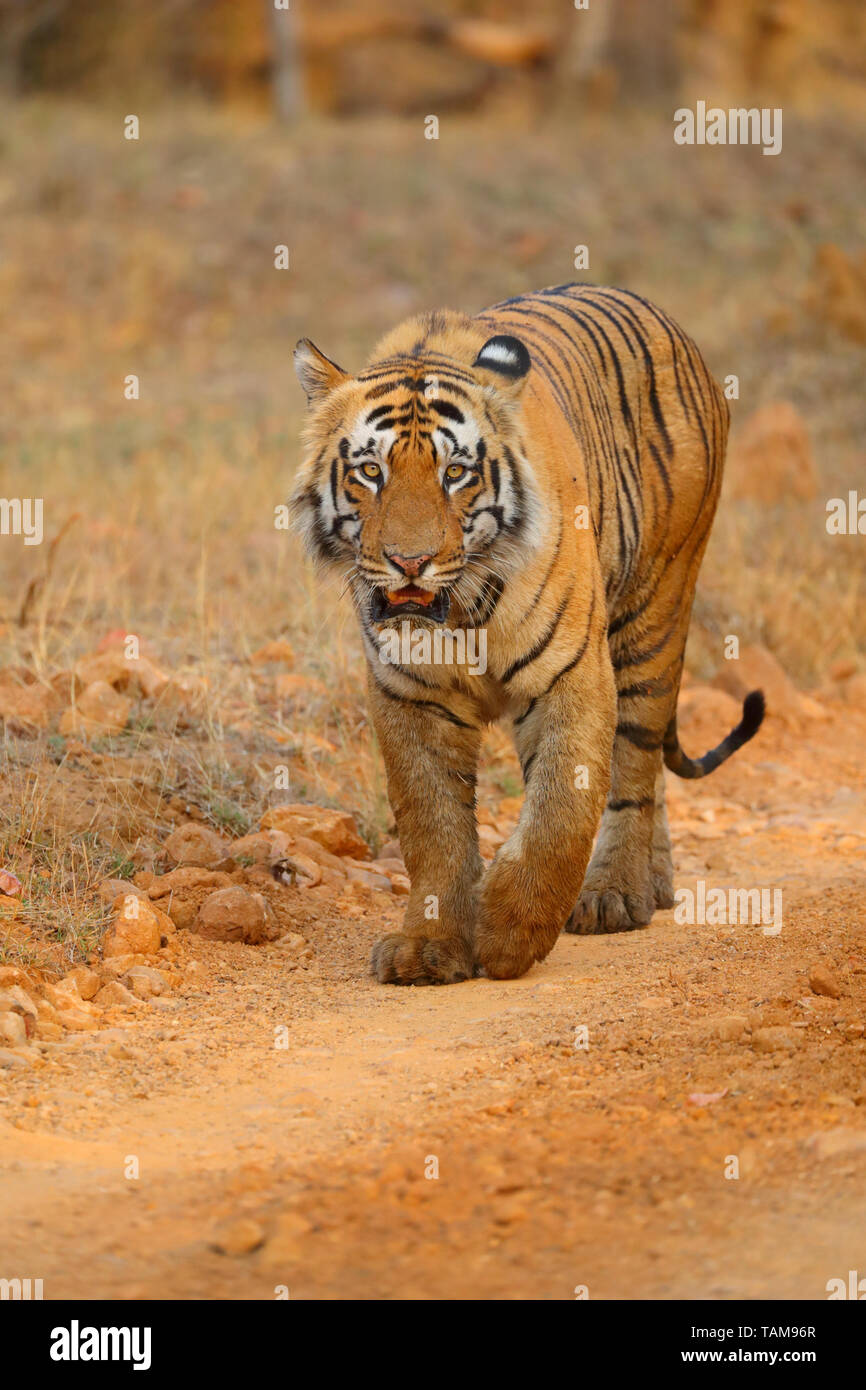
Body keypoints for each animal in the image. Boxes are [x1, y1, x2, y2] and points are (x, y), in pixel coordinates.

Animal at [290, 283, 764, 985]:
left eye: (455, 473)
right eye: (370, 472)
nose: (409, 562)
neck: (461, 613)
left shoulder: (571, 673)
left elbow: (559, 814)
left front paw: (511, 932)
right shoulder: (409, 696)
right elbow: (432, 829)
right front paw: (428, 947)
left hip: (656, 610)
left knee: (636, 761)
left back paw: (615, 893)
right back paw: (654, 882)